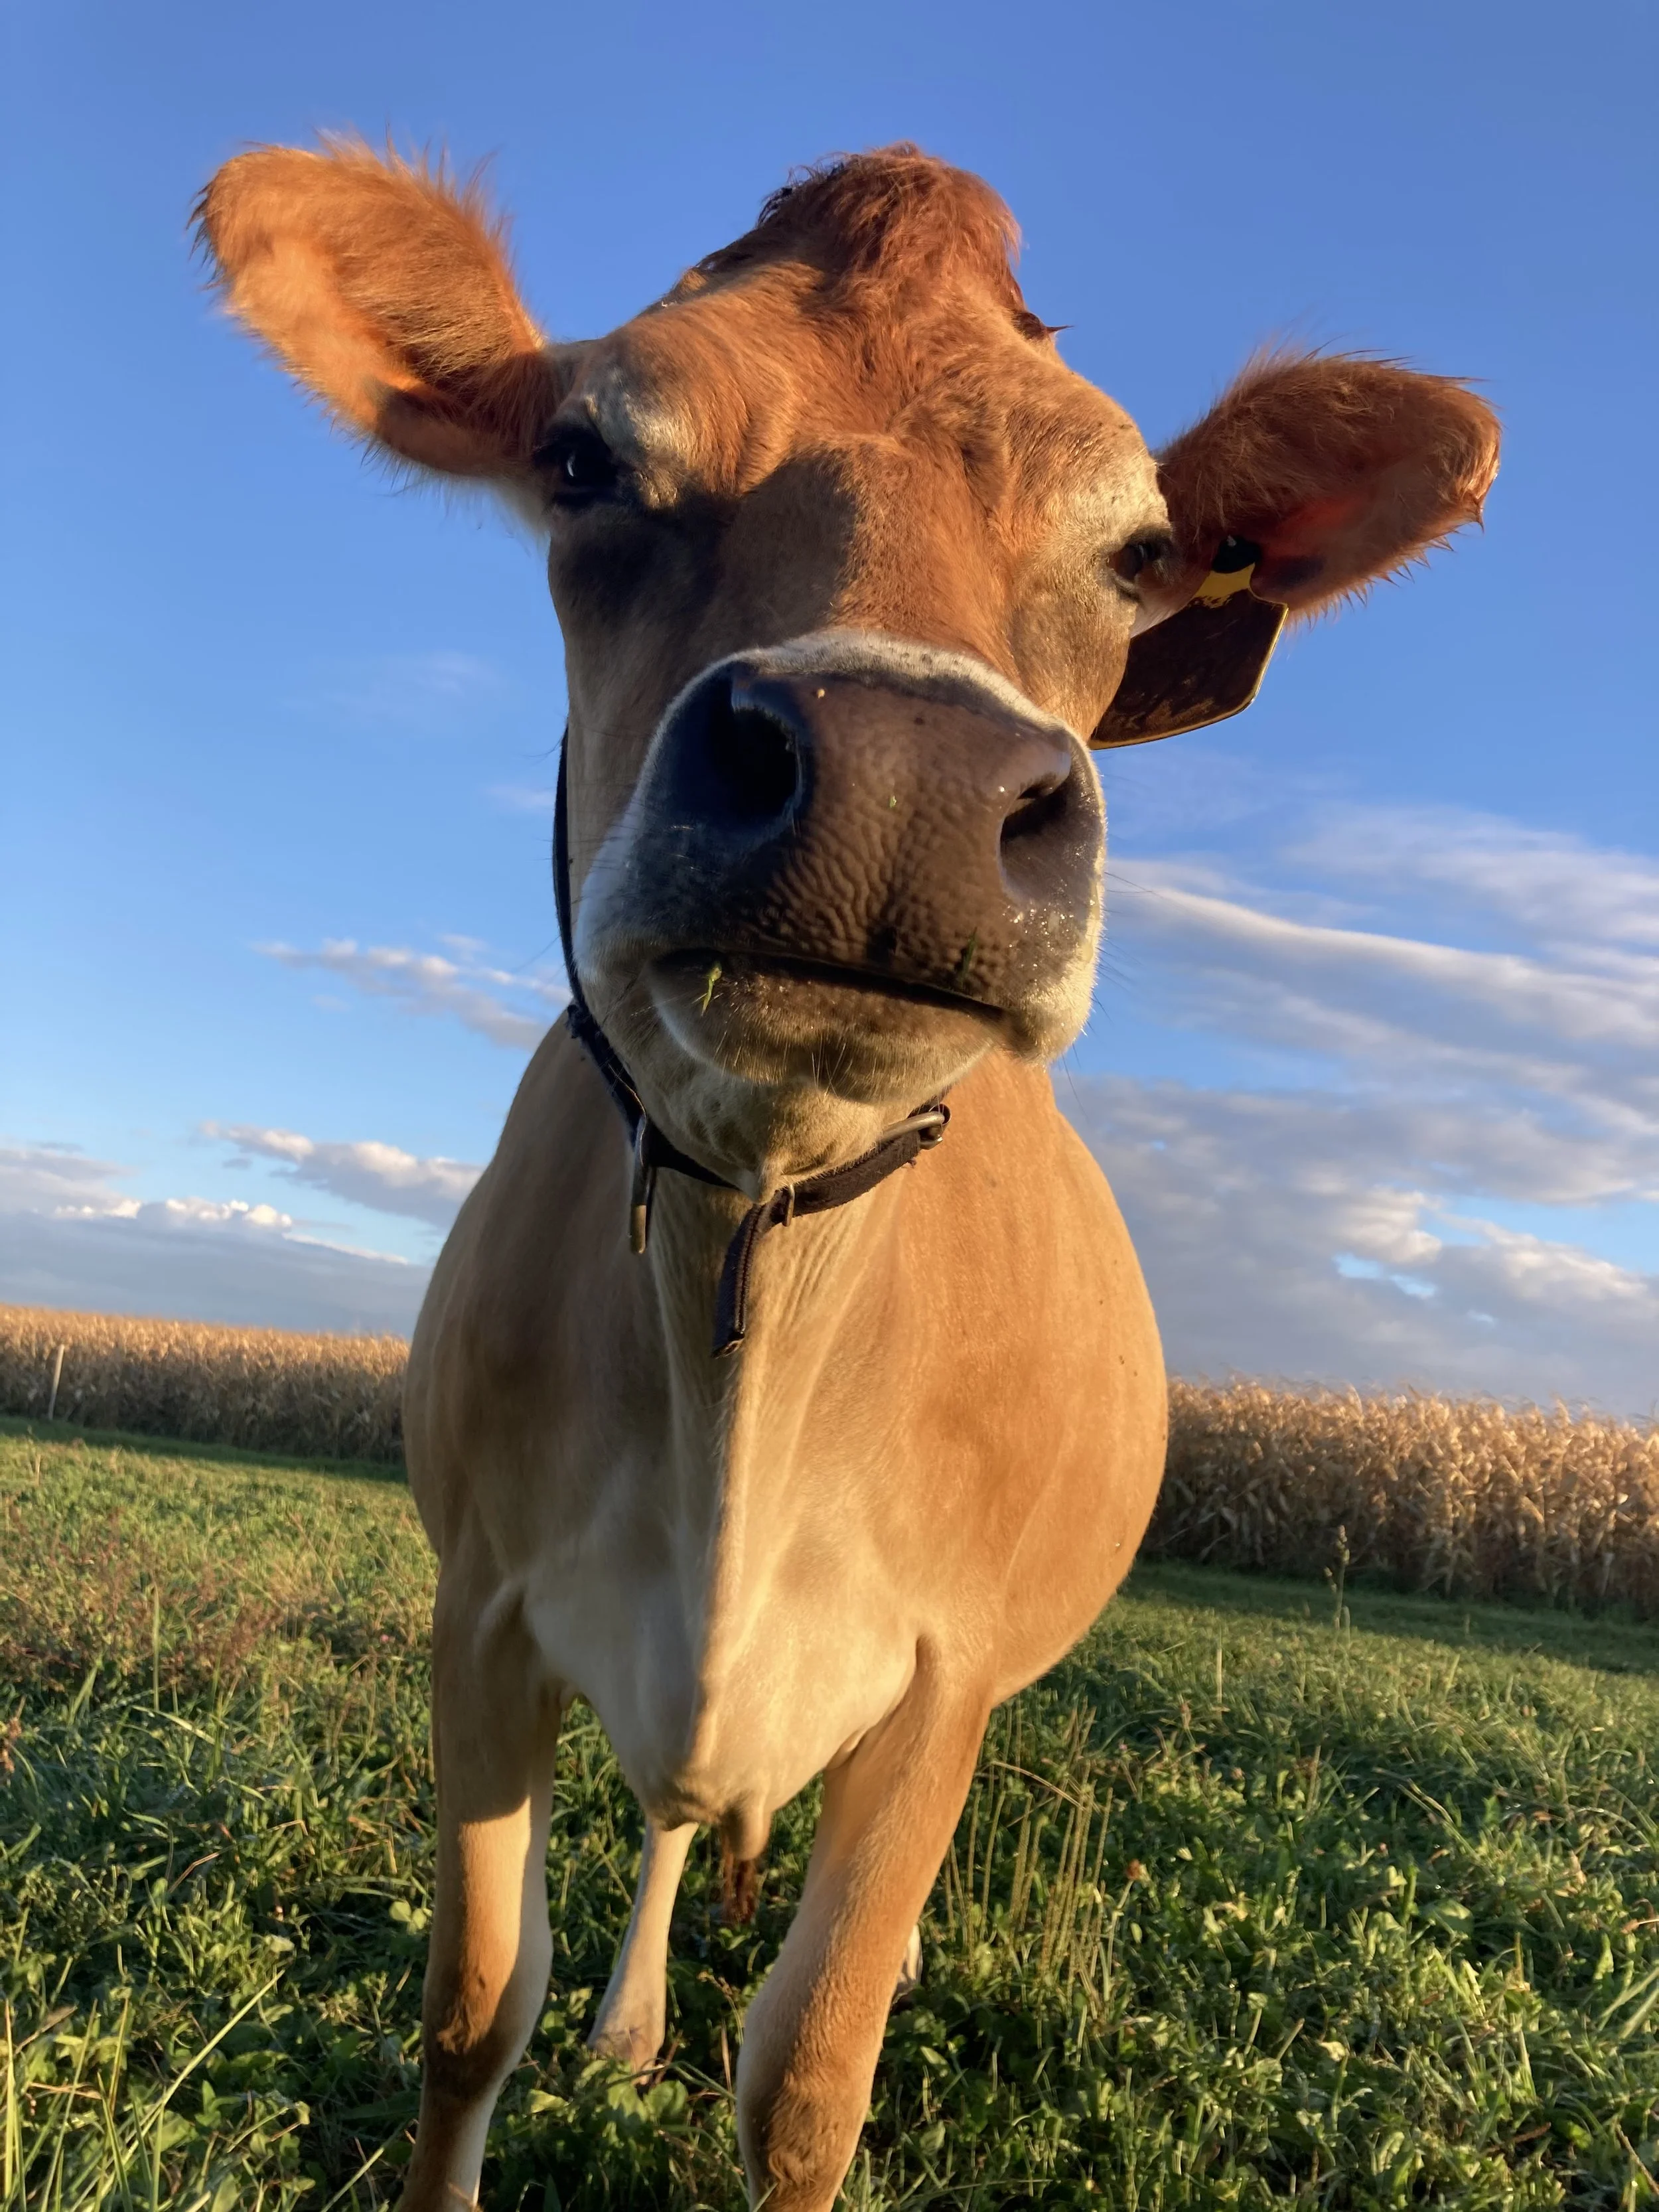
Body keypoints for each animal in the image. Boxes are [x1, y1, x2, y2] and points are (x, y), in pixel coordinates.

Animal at [196, 140, 1498, 2209]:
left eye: (1137, 551)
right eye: (582, 458)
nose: (904, 780)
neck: (755, 1284)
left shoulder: (942, 1689)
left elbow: (808, 2078)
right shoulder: (478, 1609)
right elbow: (473, 2004)